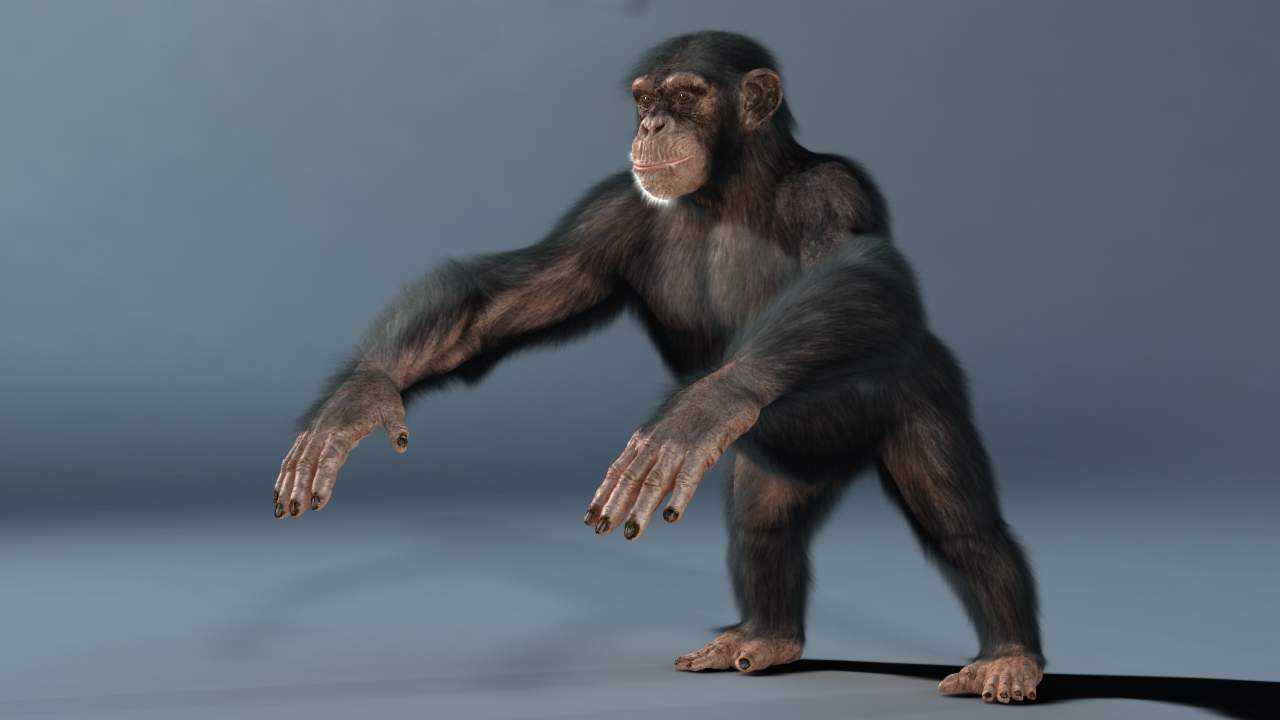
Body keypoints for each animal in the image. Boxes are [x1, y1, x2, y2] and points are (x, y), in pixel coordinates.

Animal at [273, 31, 1045, 704]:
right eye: (644, 96)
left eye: (686, 93)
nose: (651, 123)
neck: (732, 190)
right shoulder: (609, 215)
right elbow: (510, 297)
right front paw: (360, 397)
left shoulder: (835, 191)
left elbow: (859, 273)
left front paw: (706, 405)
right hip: (775, 464)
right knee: (762, 527)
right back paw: (765, 636)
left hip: (919, 404)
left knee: (962, 525)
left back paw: (1007, 656)